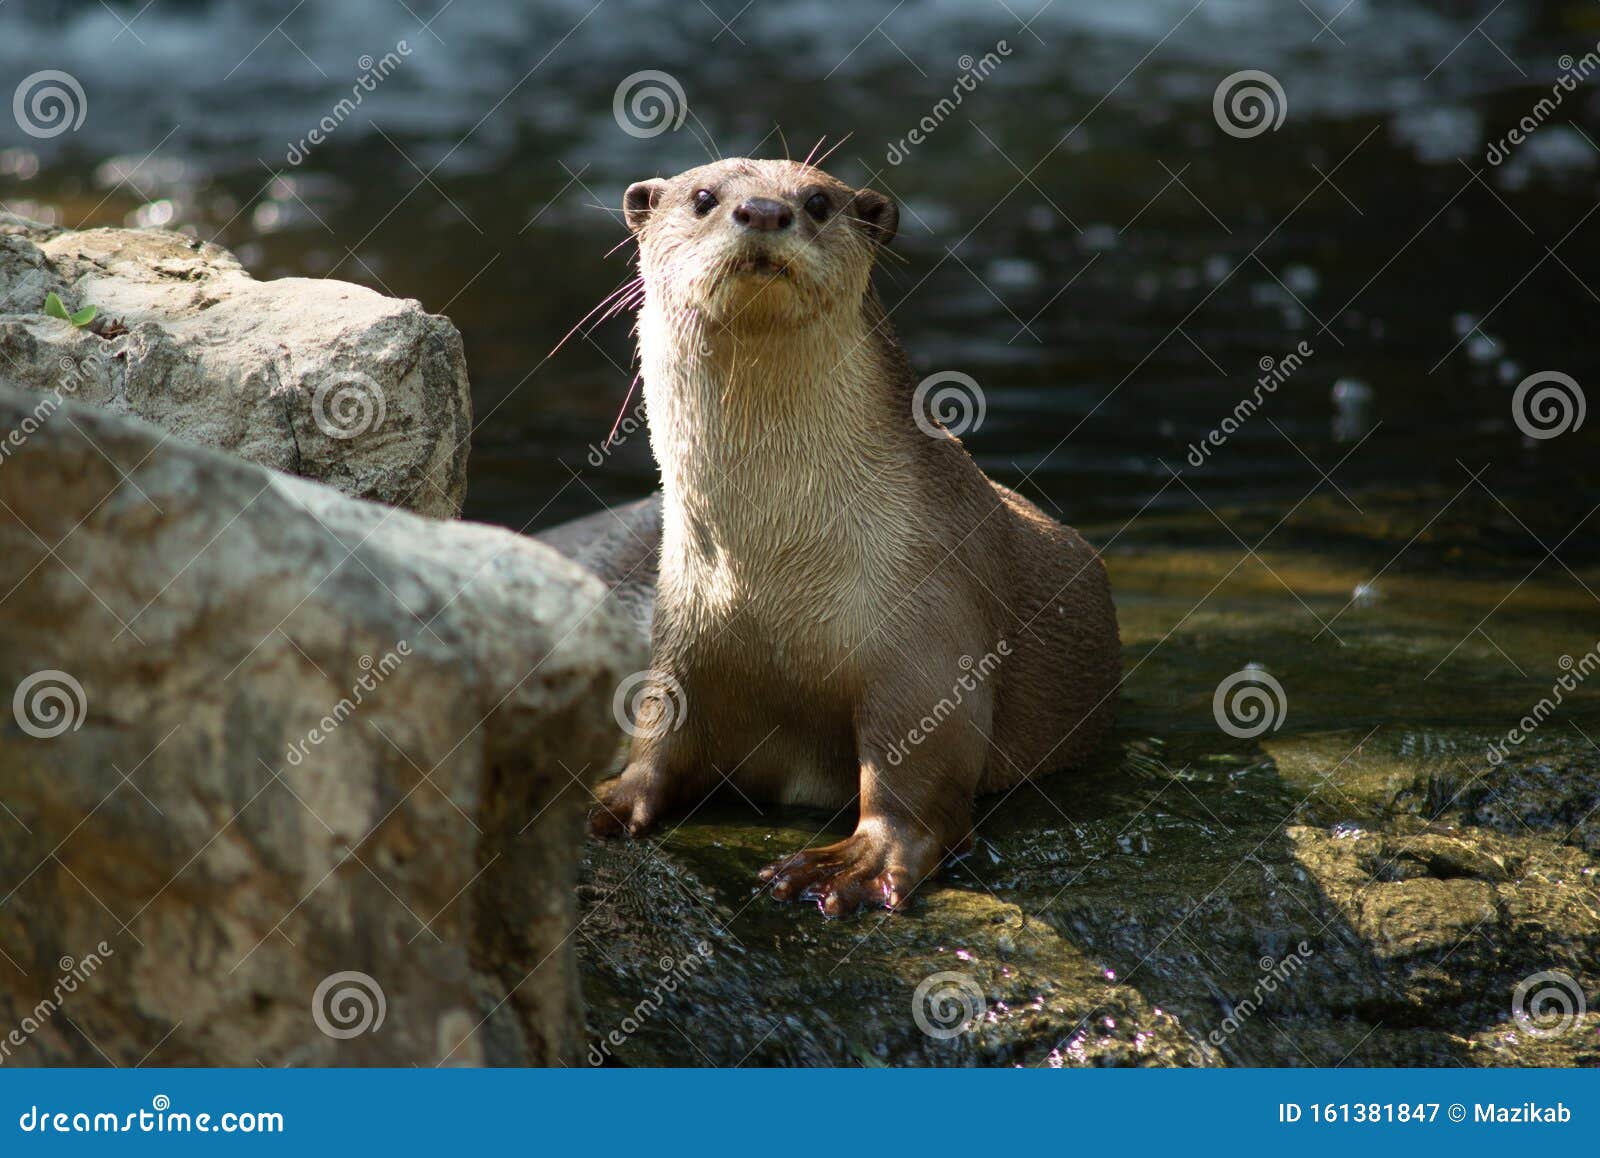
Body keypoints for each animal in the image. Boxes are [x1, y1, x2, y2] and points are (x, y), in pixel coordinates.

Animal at [547, 158, 1120, 915]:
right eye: (703, 197)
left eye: (818, 202)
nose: (763, 211)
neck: (777, 571)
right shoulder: (681, 627)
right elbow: (660, 729)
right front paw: (607, 799)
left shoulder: (930, 633)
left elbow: (917, 771)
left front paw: (856, 861)